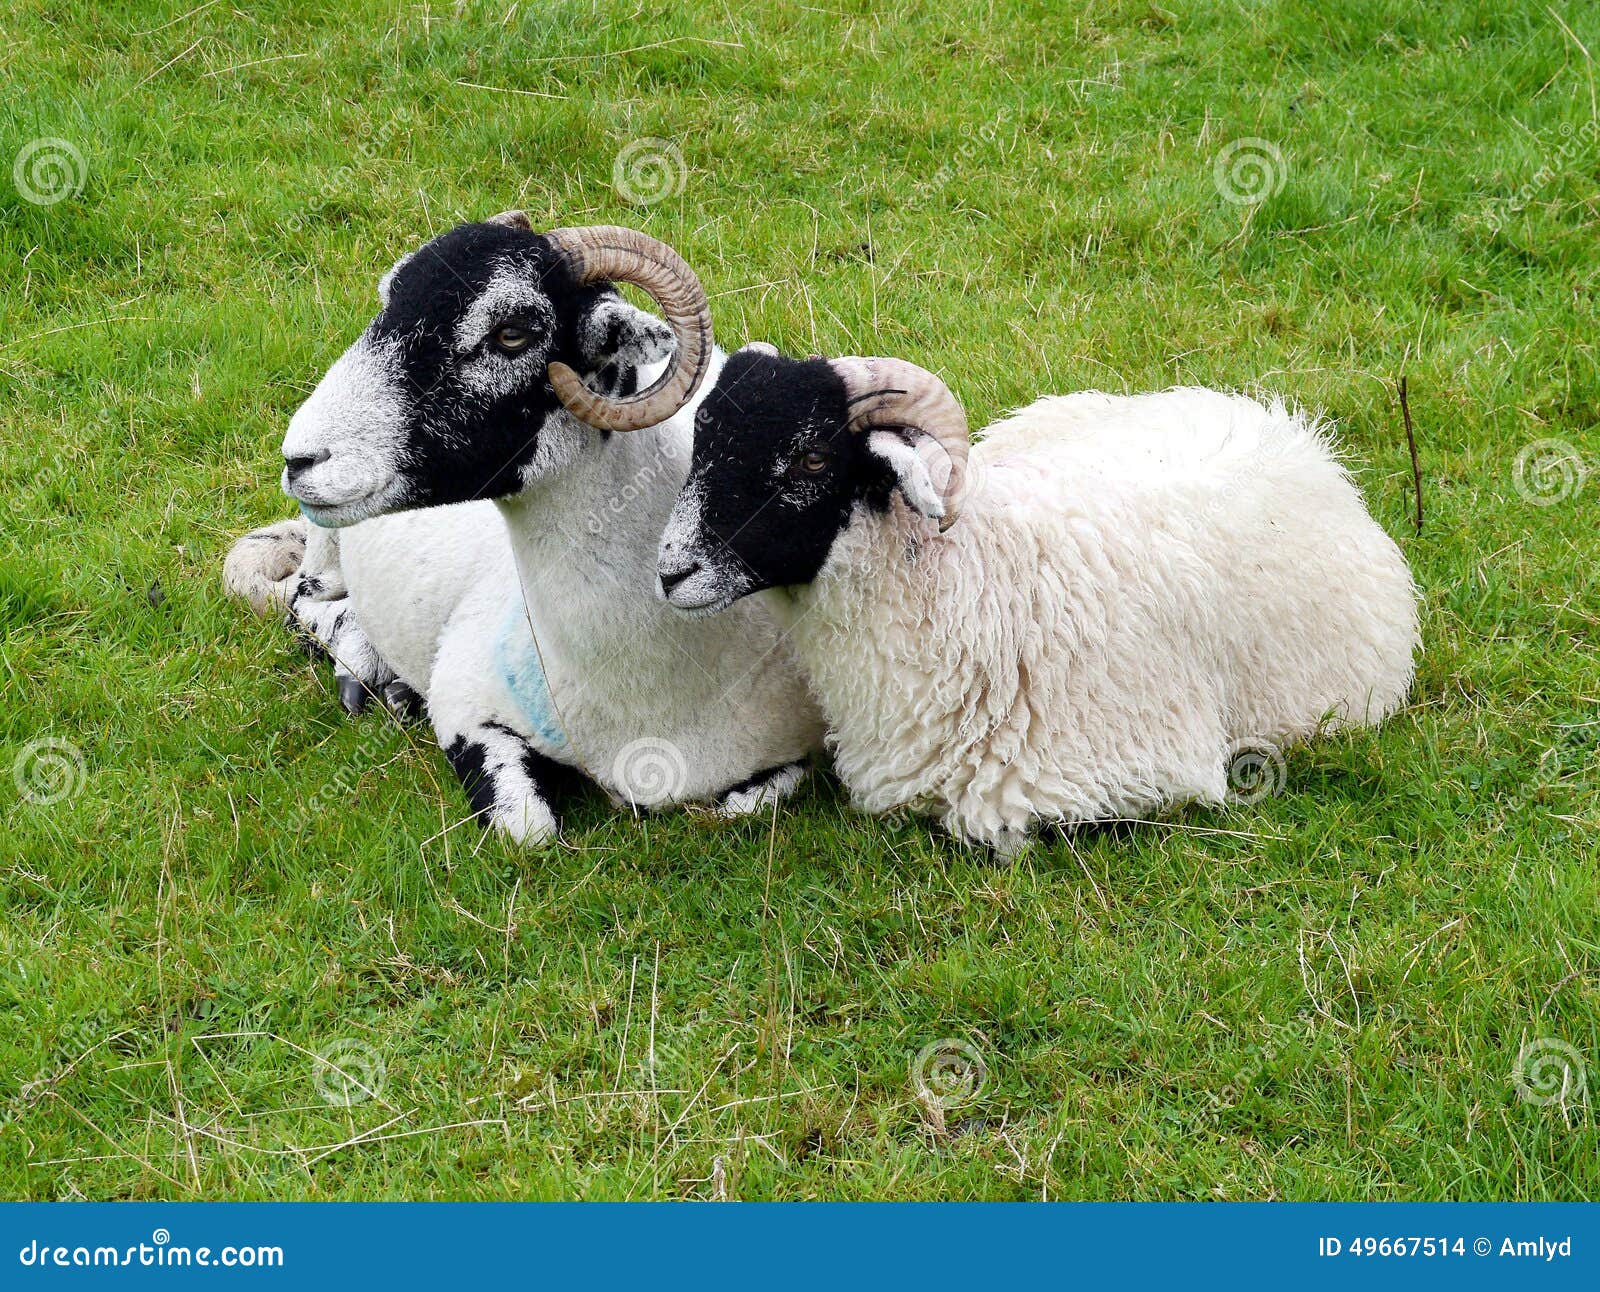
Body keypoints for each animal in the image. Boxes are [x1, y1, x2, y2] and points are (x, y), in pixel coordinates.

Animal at [226, 215, 824, 842]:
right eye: (390, 297)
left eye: (512, 334)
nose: (300, 459)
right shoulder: (467, 703)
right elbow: (531, 831)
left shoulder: (793, 754)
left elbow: (747, 804)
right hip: (327, 544)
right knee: (306, 603)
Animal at [655, 347, 1419, 854]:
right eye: (702, 442)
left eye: (812, 458)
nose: (668, 572)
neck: (974, 583)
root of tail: (1284, 427)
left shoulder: (1132, 775)